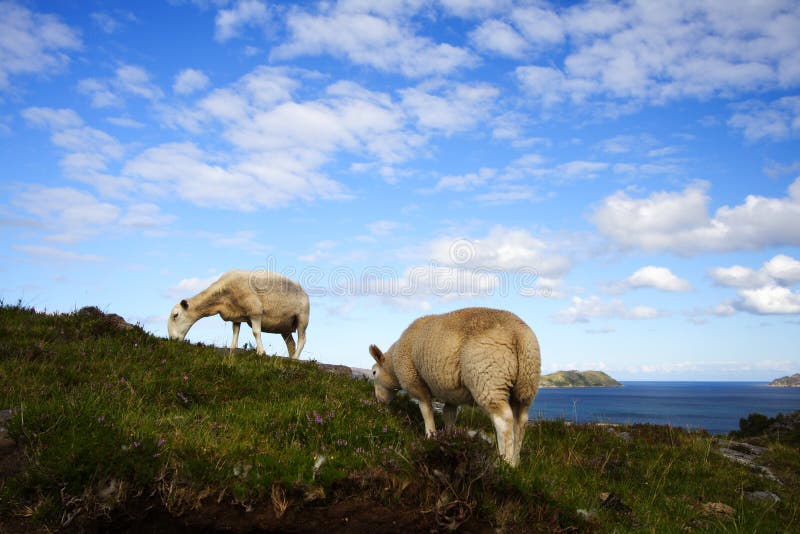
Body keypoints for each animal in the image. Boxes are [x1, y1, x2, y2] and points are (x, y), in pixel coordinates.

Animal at [167, 269, 309, 359]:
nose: (172, 339)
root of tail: (302, 290)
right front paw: (232, 348)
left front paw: (260, 352)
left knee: (302, 339)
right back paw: (292, 358)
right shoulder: (236, 315)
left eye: (175, 315)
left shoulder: (255, 310)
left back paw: (295, 358)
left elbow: (256, 332)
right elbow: (235, 331)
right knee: (291, 343)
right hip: (285, 326)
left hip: (302, 318)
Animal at [369, 307, 540, 467]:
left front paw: (430, 436)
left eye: (374, 372)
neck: (393, 366)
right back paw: (516, 463)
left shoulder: (416, 383)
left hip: (487, 377)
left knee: (504, 420)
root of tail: (518, 334)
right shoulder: (451, 394)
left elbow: (426, 411)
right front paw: (449, 439)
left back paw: (505, 463)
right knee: (521, 420)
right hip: (526, 384)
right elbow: (449, 416)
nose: (378, 401)